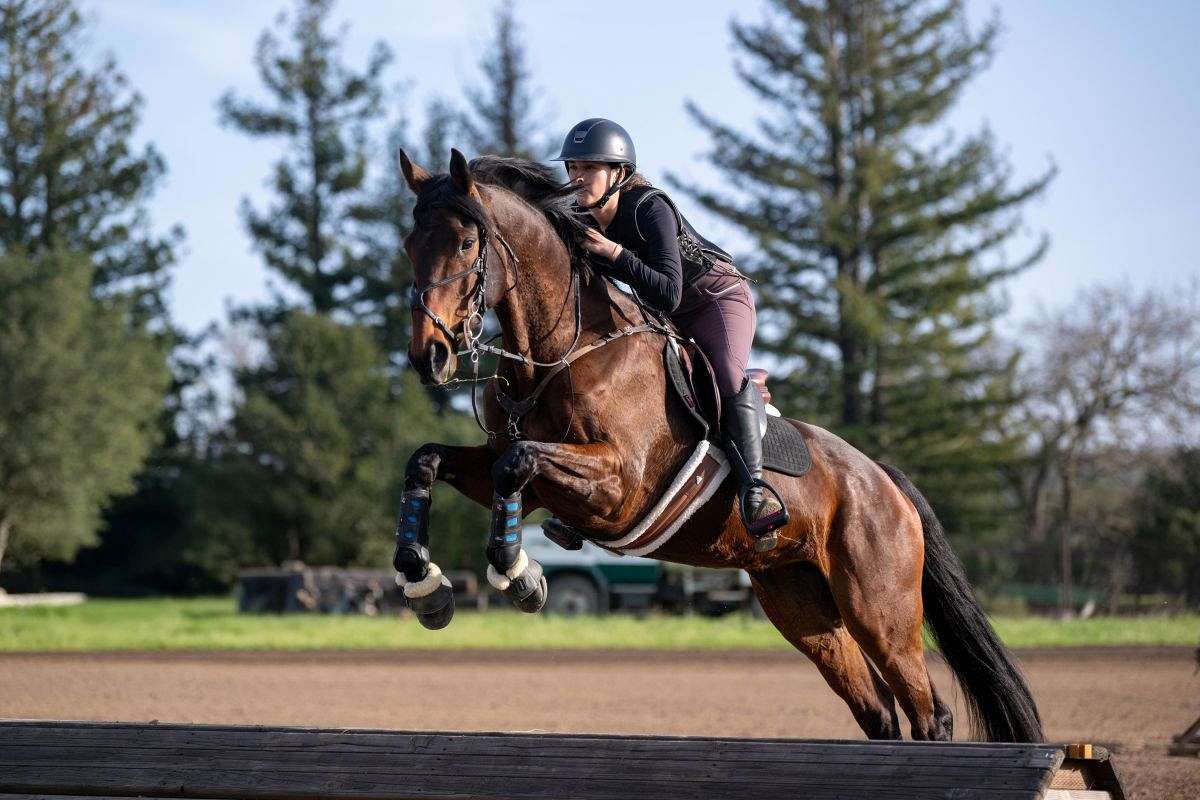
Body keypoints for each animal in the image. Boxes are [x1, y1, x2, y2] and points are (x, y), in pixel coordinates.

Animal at [393, 147, 1043, 744]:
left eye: (466, 244)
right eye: (408, 245)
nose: (429, 357)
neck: (562, 352)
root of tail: (885, 481)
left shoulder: (617, 486)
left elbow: (515, 462)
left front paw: (521, 576)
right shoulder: (530, 487)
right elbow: (431, 460)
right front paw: (424, 585)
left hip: (879, 607)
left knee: (928, 711)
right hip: (801, 605)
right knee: (879, 712)